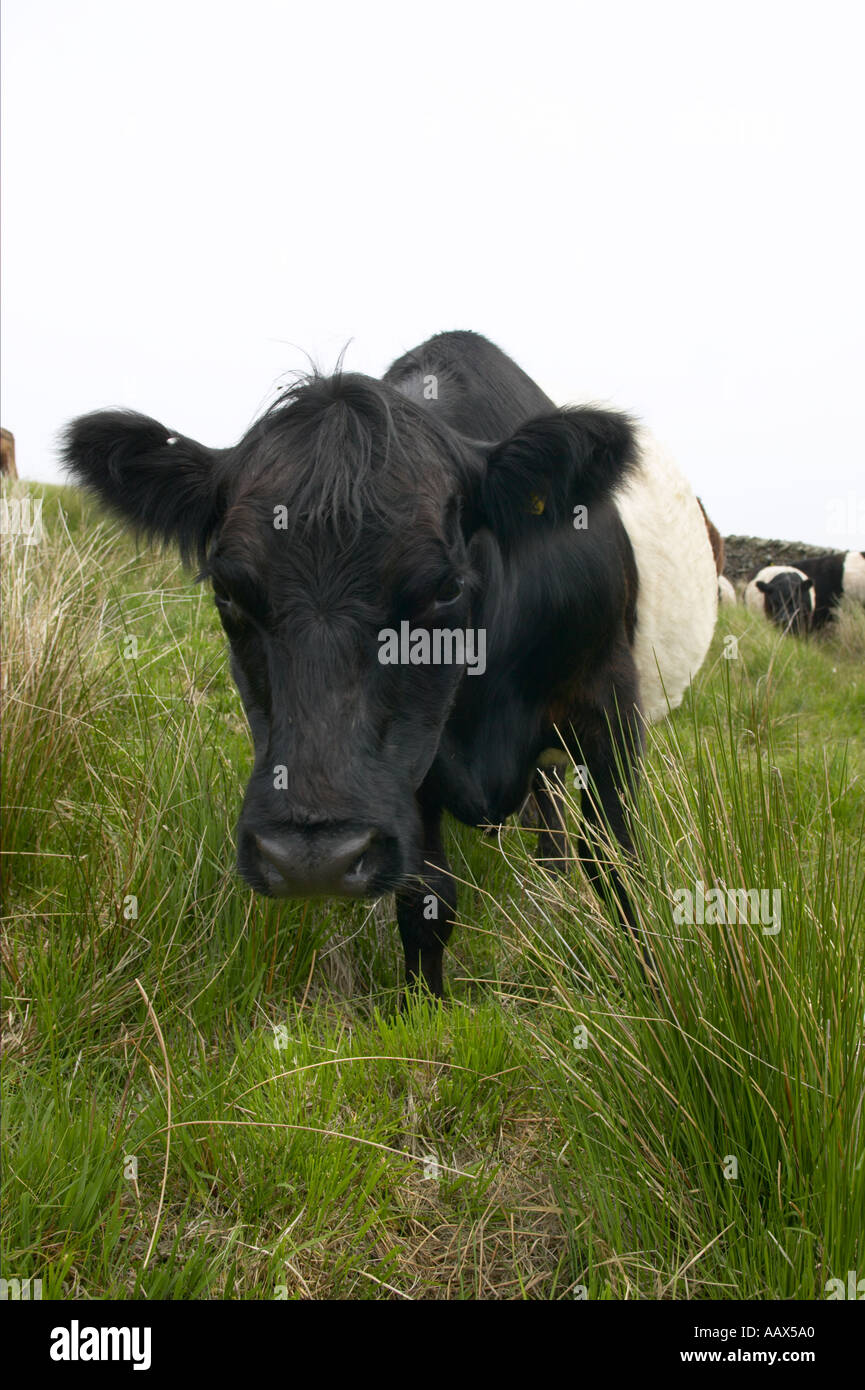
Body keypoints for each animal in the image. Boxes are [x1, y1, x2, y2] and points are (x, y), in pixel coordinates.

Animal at [62, 331, 717, 997]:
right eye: (227, 592)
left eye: (446, 588)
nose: (311, 860)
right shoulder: (410, 764)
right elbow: (427, 898)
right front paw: (421, 1006)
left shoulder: (608, 707)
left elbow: (617, 867)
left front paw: (650, 991)